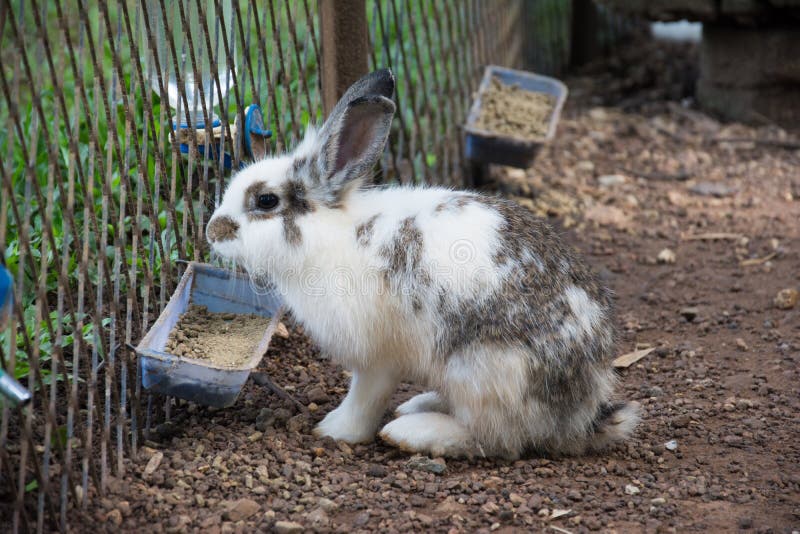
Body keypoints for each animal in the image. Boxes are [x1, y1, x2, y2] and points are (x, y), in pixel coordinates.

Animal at [206, 68, 639, 459]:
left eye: (265, 201)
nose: (212, 231)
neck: (330, 231)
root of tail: (583, 412)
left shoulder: (376, 356)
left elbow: (364, 395)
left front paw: (334, 430)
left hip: (484, 374)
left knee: (499, 439)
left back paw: (412, 431)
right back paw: (418, 405)